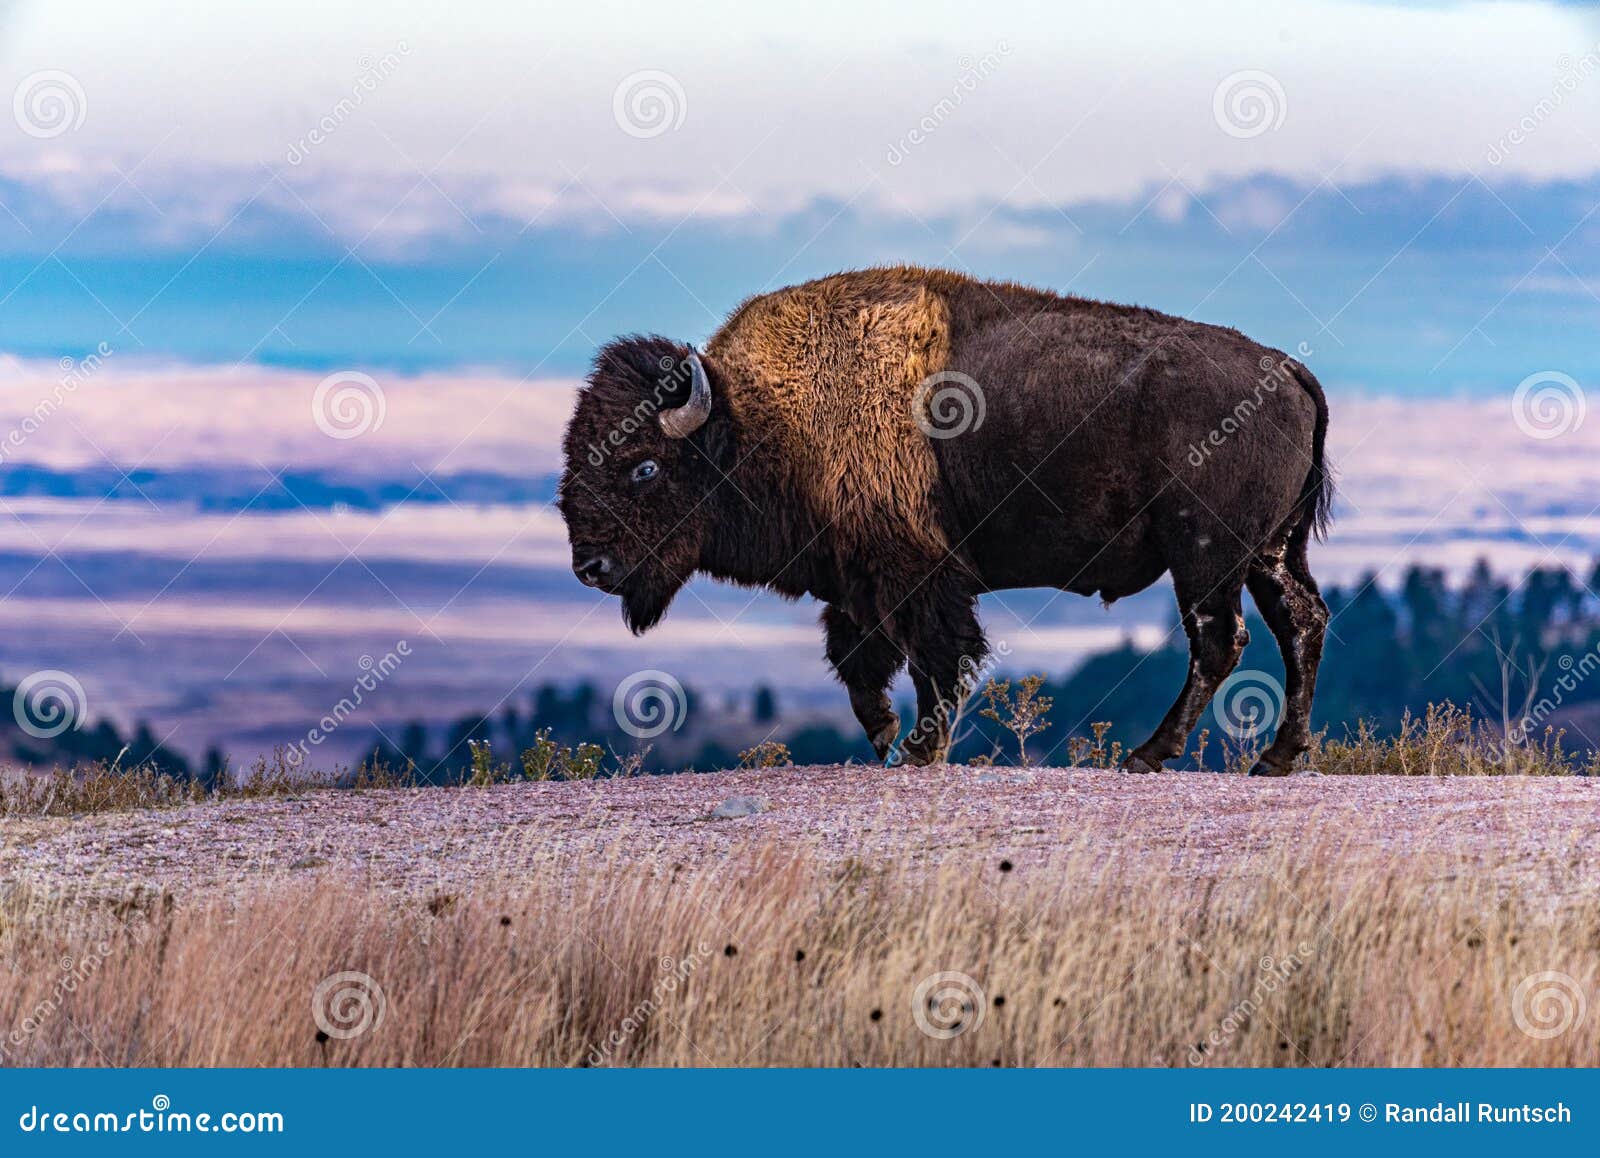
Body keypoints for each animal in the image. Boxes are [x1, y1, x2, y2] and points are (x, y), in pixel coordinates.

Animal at [558, 266, 1331, 774]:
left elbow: (935, 659)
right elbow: (862, 665)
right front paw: (887, 740)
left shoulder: (916, 576)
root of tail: (1287, 370)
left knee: (1219, 640)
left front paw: (918, 748)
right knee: (1301, 622)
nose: (589, 566)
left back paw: (1149, 755)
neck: (763, 417)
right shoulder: (857, 581)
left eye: (644, 466)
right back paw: (1276, 758)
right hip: (1269, 553)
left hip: (1205, 556)